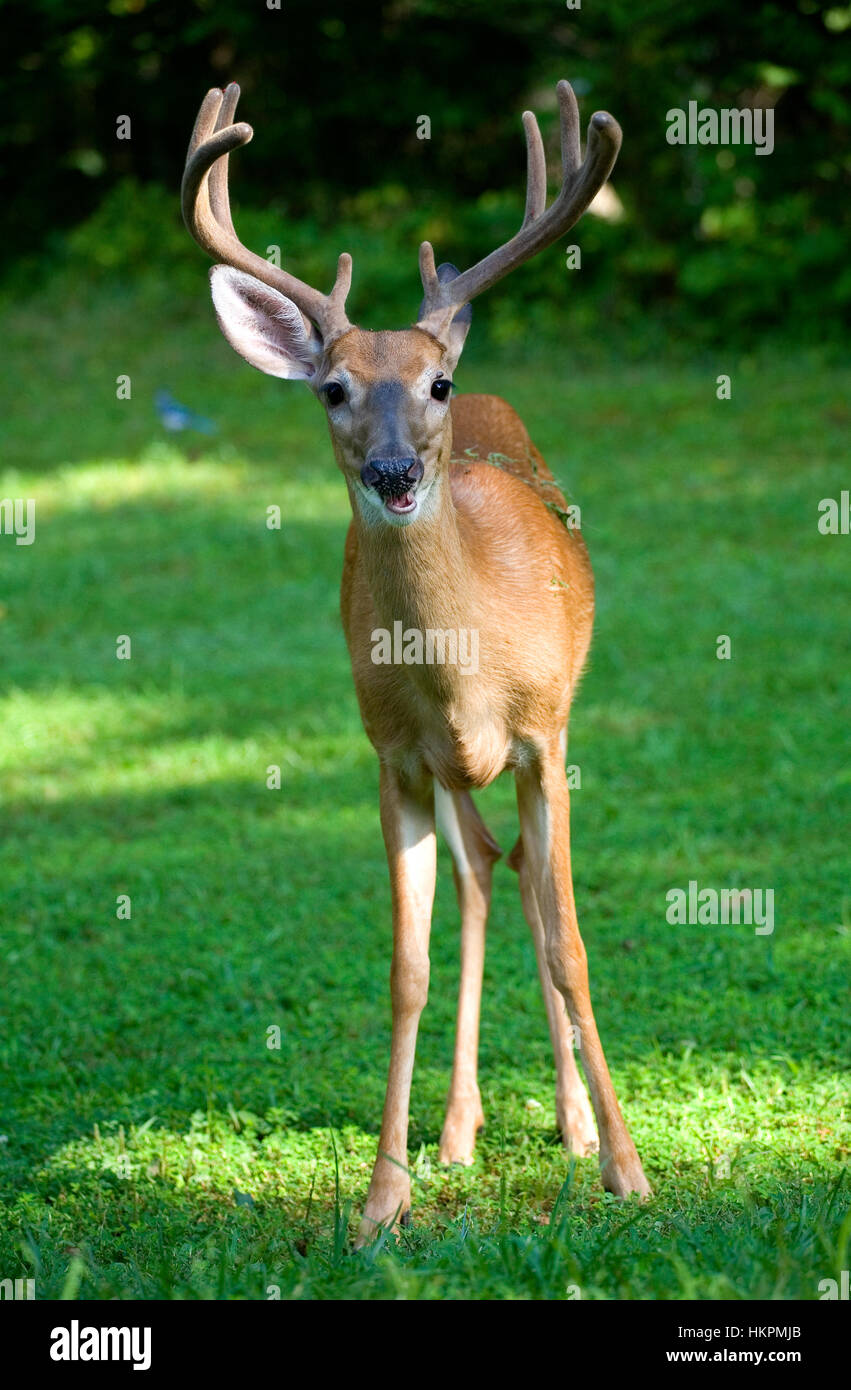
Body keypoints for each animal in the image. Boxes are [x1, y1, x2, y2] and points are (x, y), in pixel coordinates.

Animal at [182, 78, 651, 1244]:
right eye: (331, 389)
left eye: (434, 382)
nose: (394, 472)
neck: (465, 665)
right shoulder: (392, 754)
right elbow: (406, 964)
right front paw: (381, 1195)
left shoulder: (544, 735)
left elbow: (570, 944)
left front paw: (627, 1169)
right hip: (446, 770)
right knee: (485, 871)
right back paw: (458, 1130)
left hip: (535, 745)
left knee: (525, 885)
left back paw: (573, 1125)